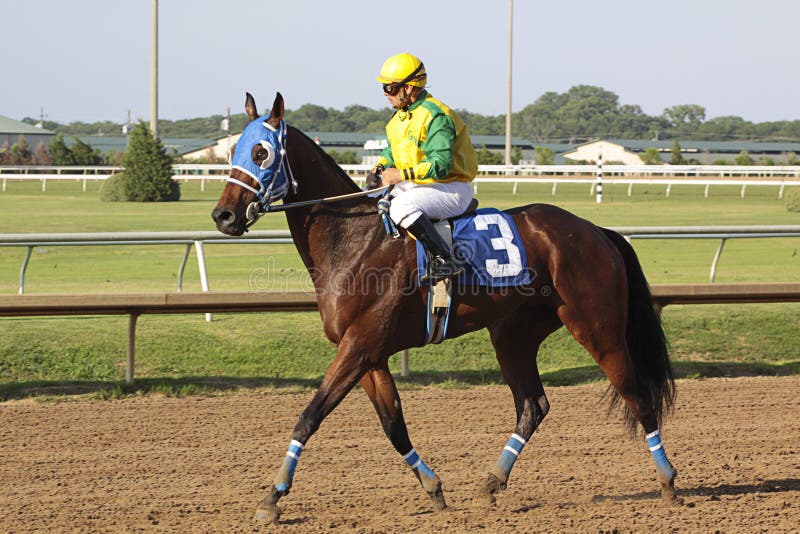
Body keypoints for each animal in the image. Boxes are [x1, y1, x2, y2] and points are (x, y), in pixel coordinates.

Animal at [212, 92, 679, 522]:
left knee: (637, 396)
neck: (356, 240)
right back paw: (491, 482)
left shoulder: (359, 346)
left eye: (261, 152)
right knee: (533, 406)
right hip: (512, 336)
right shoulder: (370, 354)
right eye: (233, 152)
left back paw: (668, 481)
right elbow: (393, 426)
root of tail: (596, 231)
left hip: (598, 329)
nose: (224, 217)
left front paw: (273, 496)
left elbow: (310, 415)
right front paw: (433, 487)